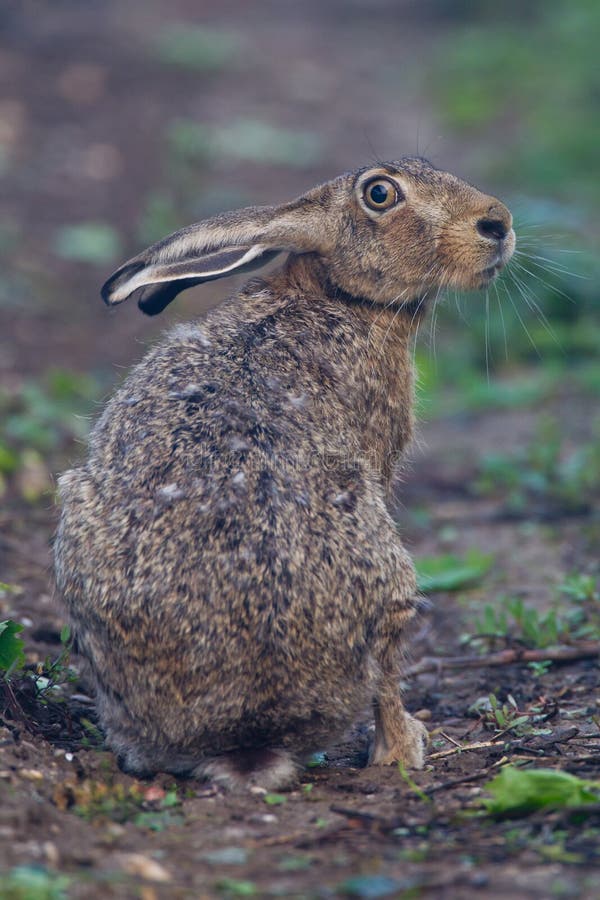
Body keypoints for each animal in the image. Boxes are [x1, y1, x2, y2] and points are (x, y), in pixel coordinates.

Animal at [54, 157, 515, 790]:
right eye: (380, 194)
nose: (498, 223)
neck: (335, 296)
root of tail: (249, 738)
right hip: (391, 579)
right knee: (386, 673)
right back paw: (406, 745)